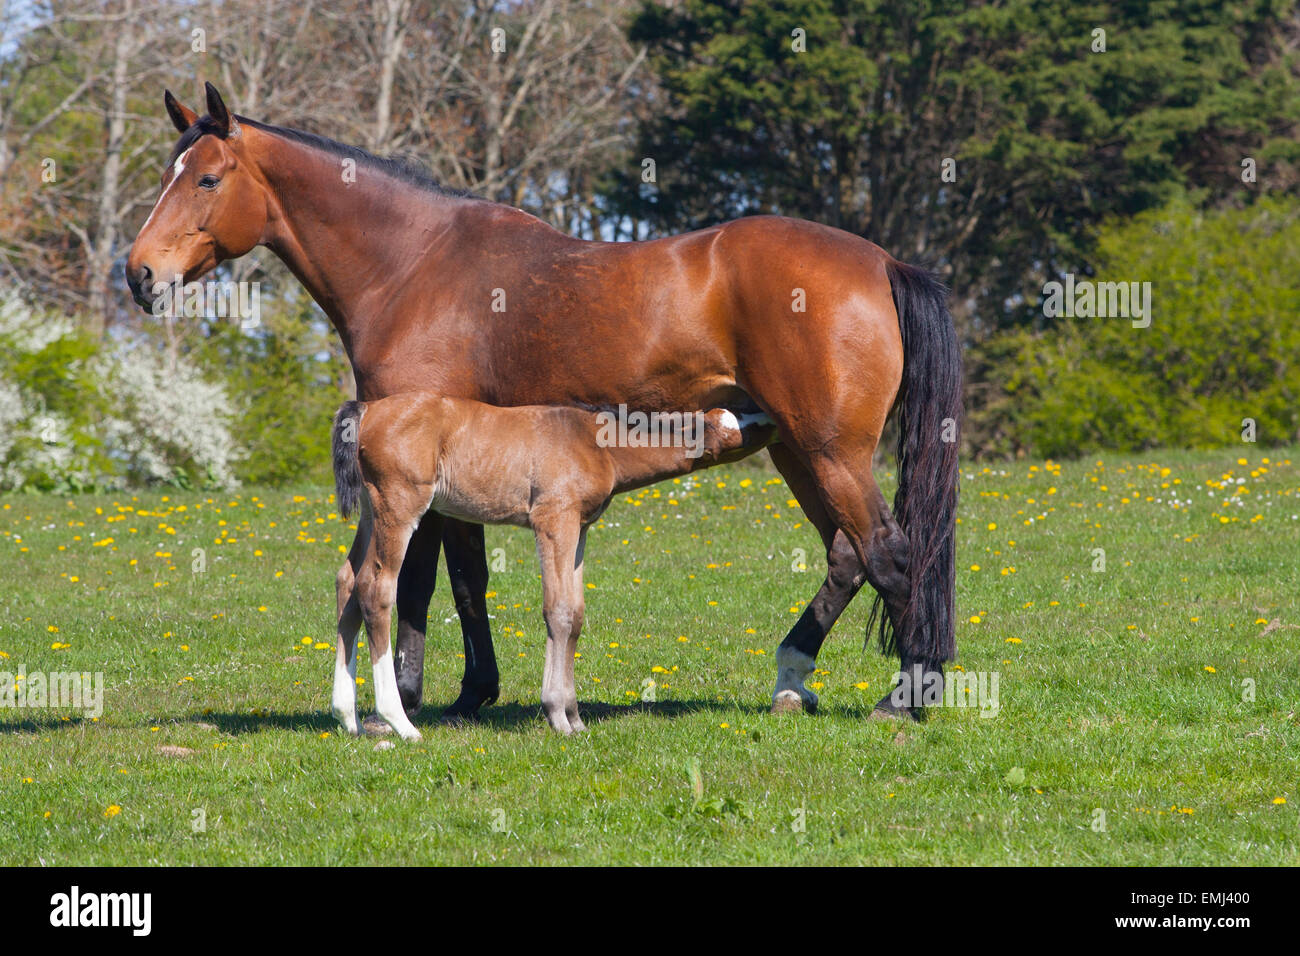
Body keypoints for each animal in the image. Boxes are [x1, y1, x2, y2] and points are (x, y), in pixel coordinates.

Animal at [329, 394, 776, 737]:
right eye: (737, 420)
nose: (769, 412)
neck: (596, 444)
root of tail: (366, 409)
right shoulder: (553, 521)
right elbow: (558, 612)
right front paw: (558, 716)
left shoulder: (579, 528)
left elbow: (574, 614)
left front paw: (575, 717)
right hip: (400, 507)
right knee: (375, 590)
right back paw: (399, 723)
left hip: (371, 513)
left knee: (347, 583)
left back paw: (348, 719)